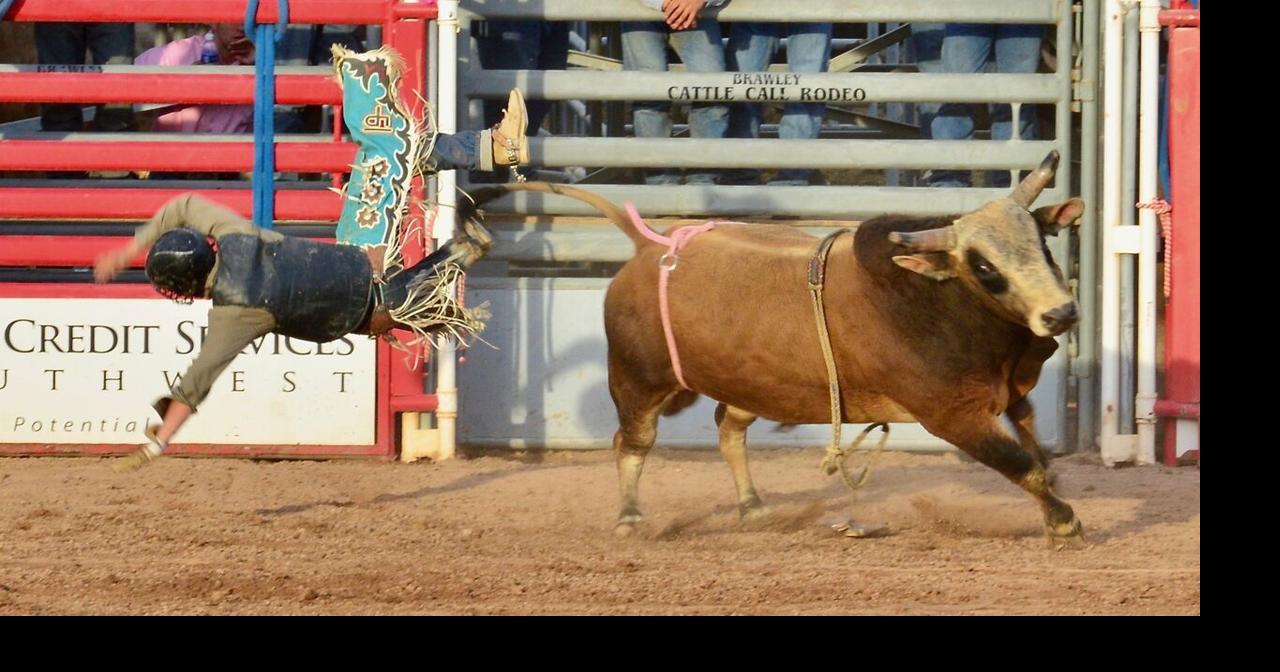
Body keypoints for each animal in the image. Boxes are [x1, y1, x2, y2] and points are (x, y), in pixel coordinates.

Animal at [464, 151, 1086, 549]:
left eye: (1041, 241)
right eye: (984, 266)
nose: (1061, 313)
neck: (932, 298)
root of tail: (650, 246)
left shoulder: (1014, 394)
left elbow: (1037, 448)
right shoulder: (950, 415)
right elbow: (1021, 464)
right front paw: (1063, 523)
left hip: (750, 385)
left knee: (728, 428)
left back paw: (752, 504)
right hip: (638, 382)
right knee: (632, 443)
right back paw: (631, 517)